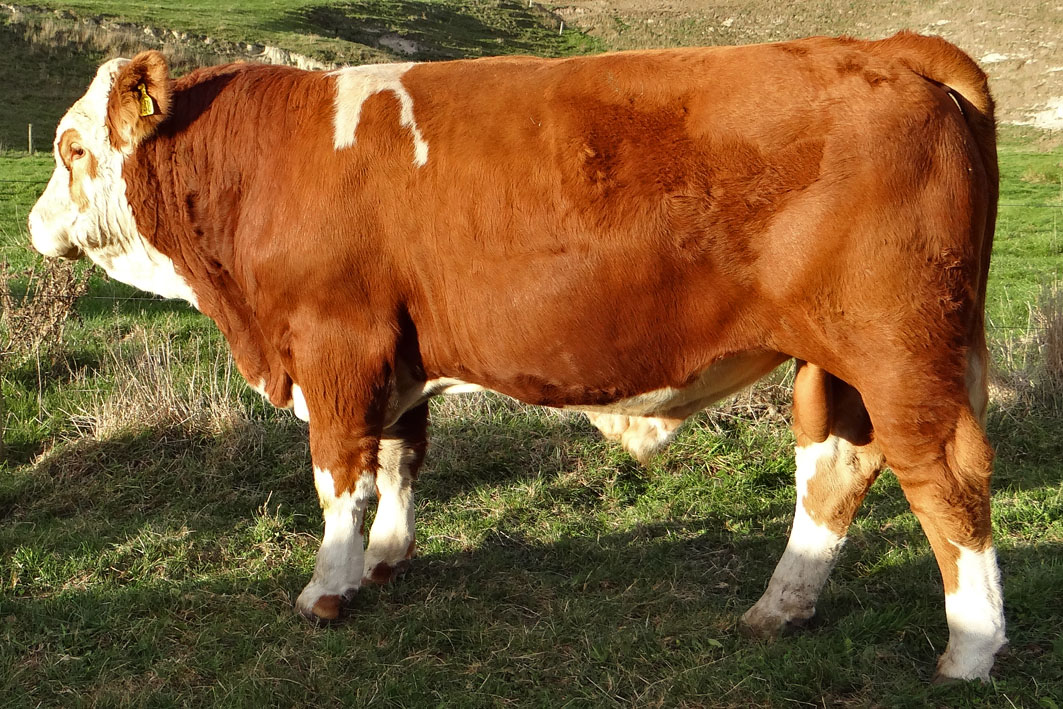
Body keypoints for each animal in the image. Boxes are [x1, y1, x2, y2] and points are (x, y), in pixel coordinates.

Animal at [28, 32, 1003, 681]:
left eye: (73, 149)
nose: (34, 225)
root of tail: (887, 46)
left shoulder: (337, 345)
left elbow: (339, 477)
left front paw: (327, 590)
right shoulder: (398, 351)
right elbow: (401, 458)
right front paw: (388, 558)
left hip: (900, 349)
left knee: (944, 478)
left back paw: (970, 647)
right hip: (835, 361)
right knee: (836, 464)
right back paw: (779, 607)